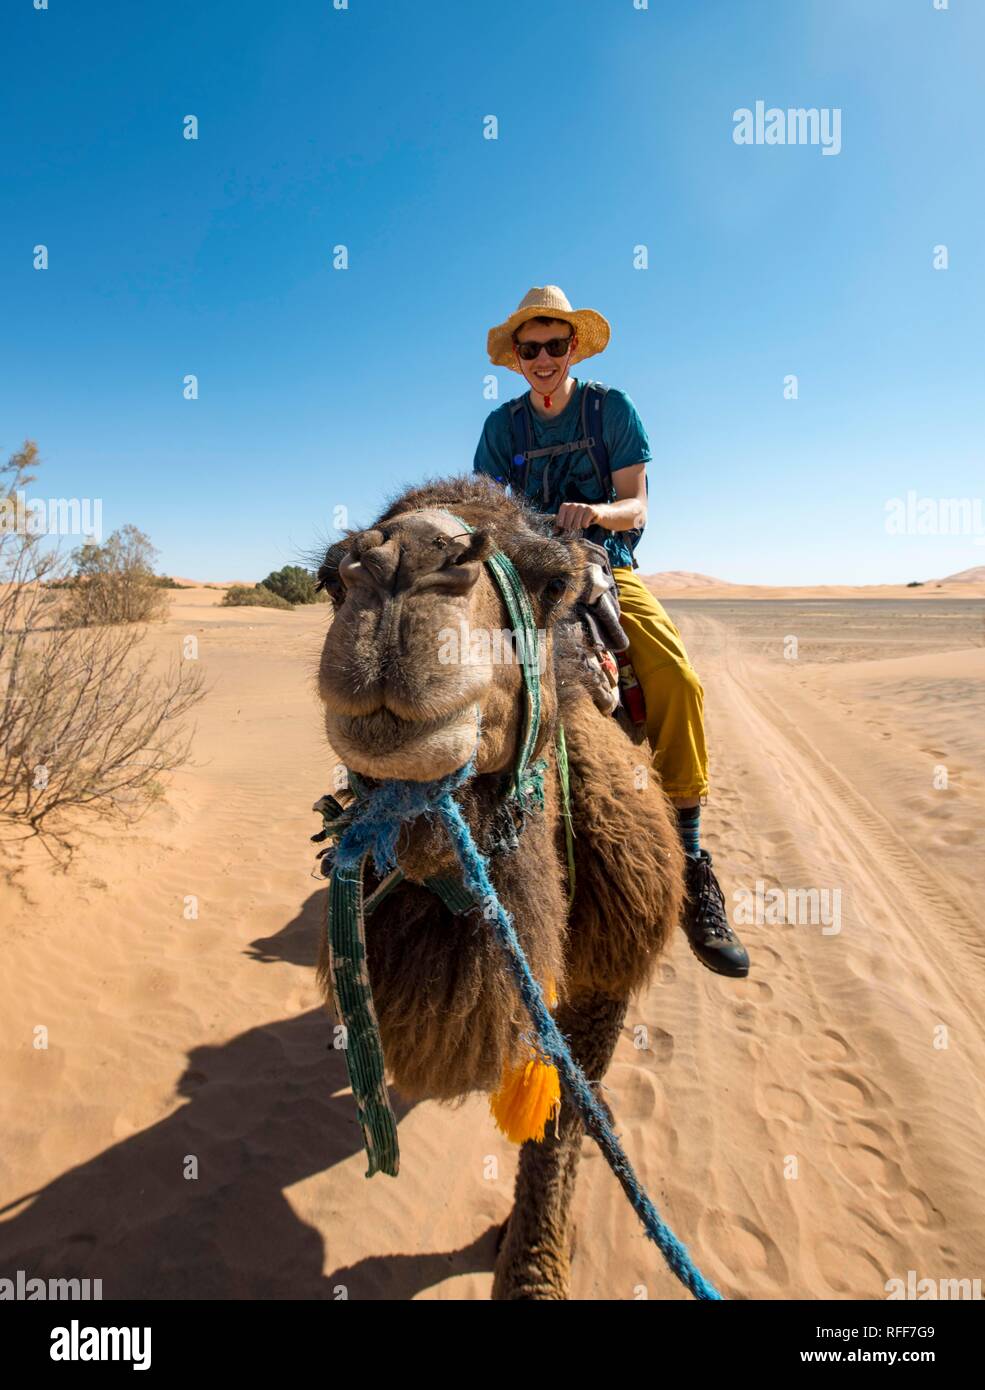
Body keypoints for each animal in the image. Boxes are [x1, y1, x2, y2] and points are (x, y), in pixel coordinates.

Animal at [314, 473, 684, 1300]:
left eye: (549, 583)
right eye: (327, 579)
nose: (398, 567)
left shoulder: (607, 971)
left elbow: (565, 1116)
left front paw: (531, 1266)